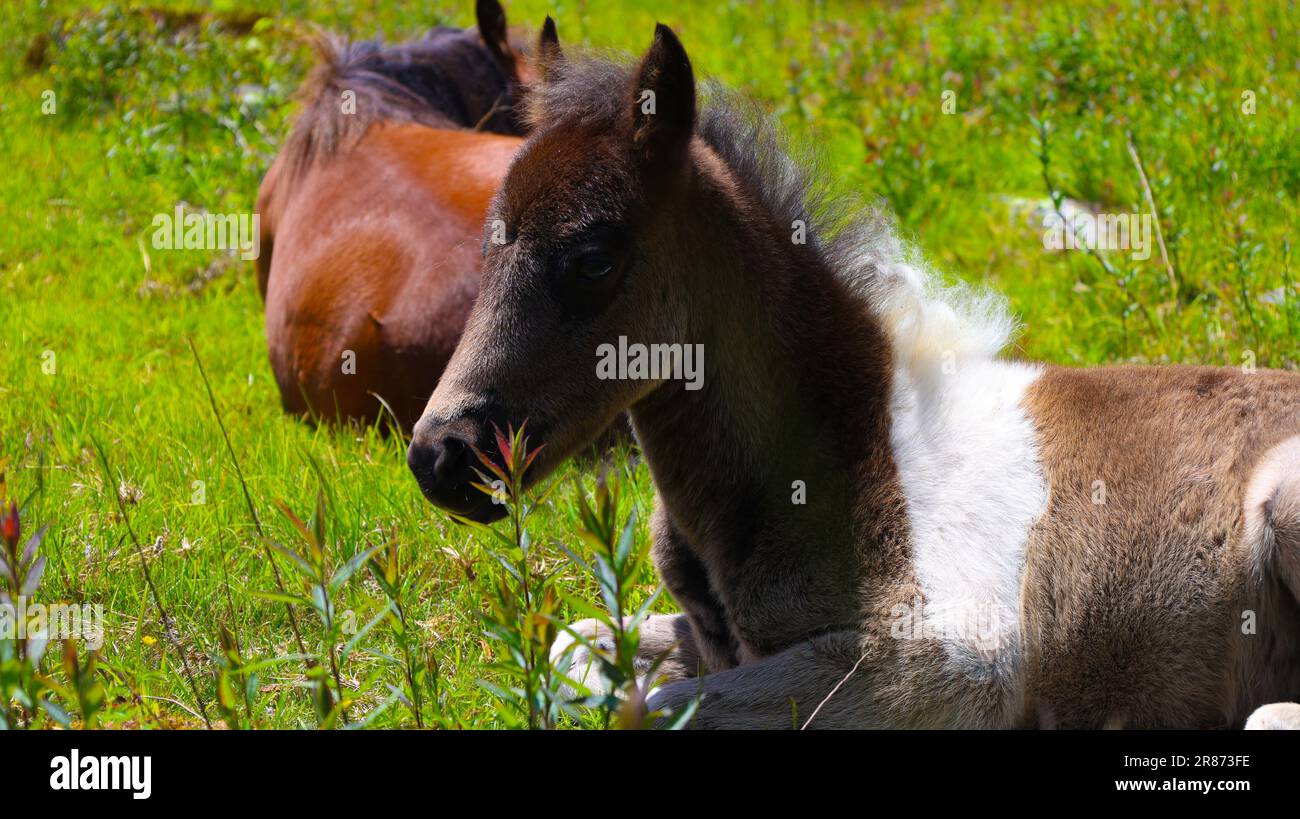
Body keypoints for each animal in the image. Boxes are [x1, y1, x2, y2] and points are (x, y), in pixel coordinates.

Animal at [407, 22, 1300, 728]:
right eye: (487, 244)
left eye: (594, 258)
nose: (439, 454)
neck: (847, 450)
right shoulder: (721, 643)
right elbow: (579, 650)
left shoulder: (949, 663)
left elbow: (654, 709)